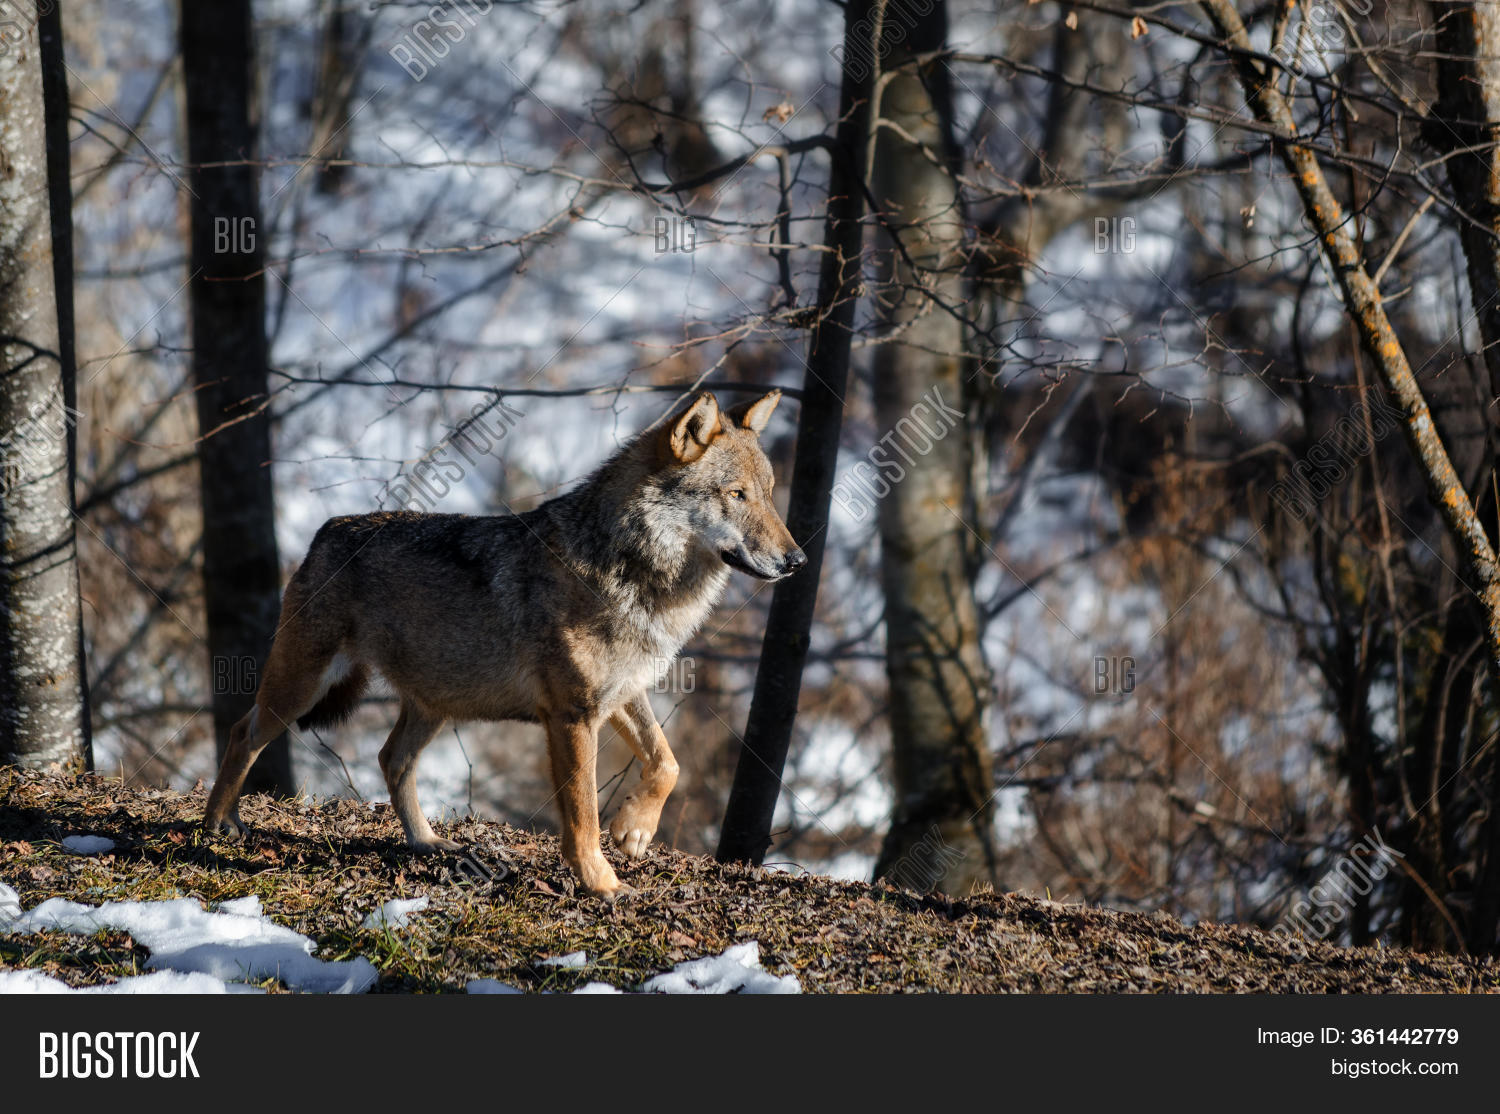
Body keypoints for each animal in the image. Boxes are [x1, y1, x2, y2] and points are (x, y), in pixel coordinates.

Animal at [202, 391, 804, 898]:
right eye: (735, 495)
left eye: (771, 496)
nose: (797, 560)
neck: (634, 577)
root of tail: (328, 529)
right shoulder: (572, 715)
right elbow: (583, 817)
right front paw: (601, 883)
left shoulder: (623, 695)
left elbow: (668, 763)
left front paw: (634, 829)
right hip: (301, 689)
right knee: (242, 734)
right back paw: (215, 827)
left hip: (435, 704)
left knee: (391, 758)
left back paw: (425, 842)